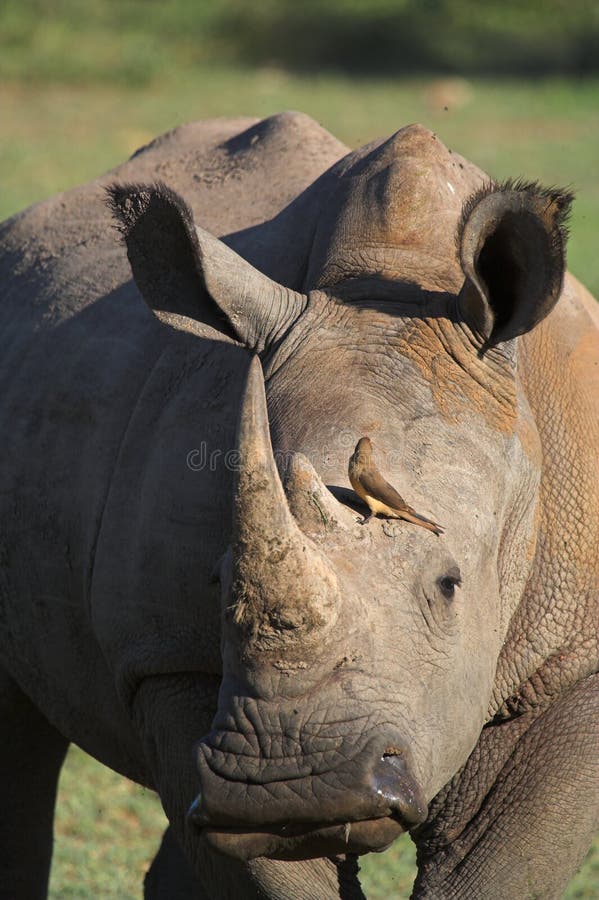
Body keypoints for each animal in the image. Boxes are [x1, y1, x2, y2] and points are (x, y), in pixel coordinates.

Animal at [1, 111, 598, 900]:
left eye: (450, 585)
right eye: (216, 582)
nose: (288, 780)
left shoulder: (574, 664)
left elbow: (500, 869)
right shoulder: (168, 662)